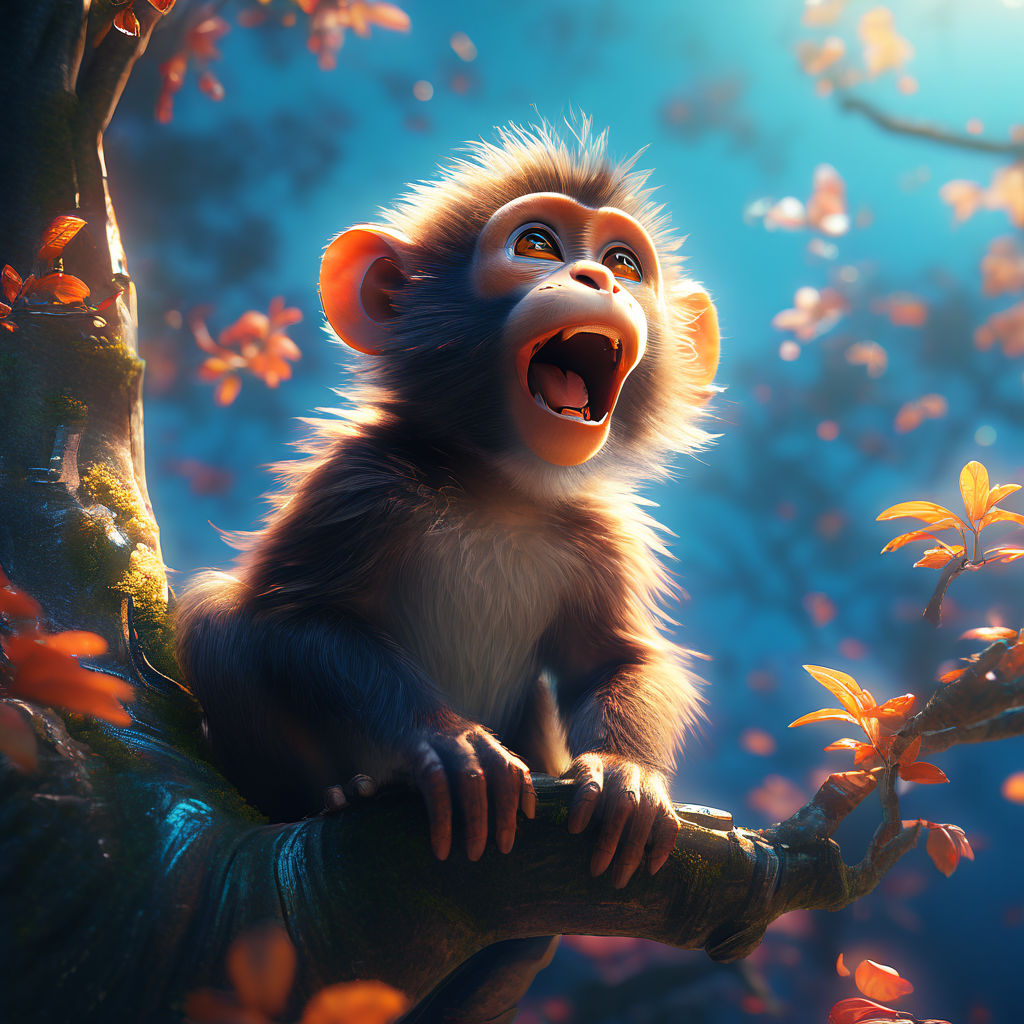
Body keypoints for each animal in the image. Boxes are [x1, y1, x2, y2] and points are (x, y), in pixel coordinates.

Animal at [174, 121, 720, 1019]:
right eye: (536, 244)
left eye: (627, 262)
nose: (600, 278)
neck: (501, 492)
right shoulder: (362, 481)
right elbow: (292, 616)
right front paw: (448, 744)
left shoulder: (601, 536)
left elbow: (615, 659)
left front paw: (627, 775)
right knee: (220, 619)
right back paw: (347, 794)